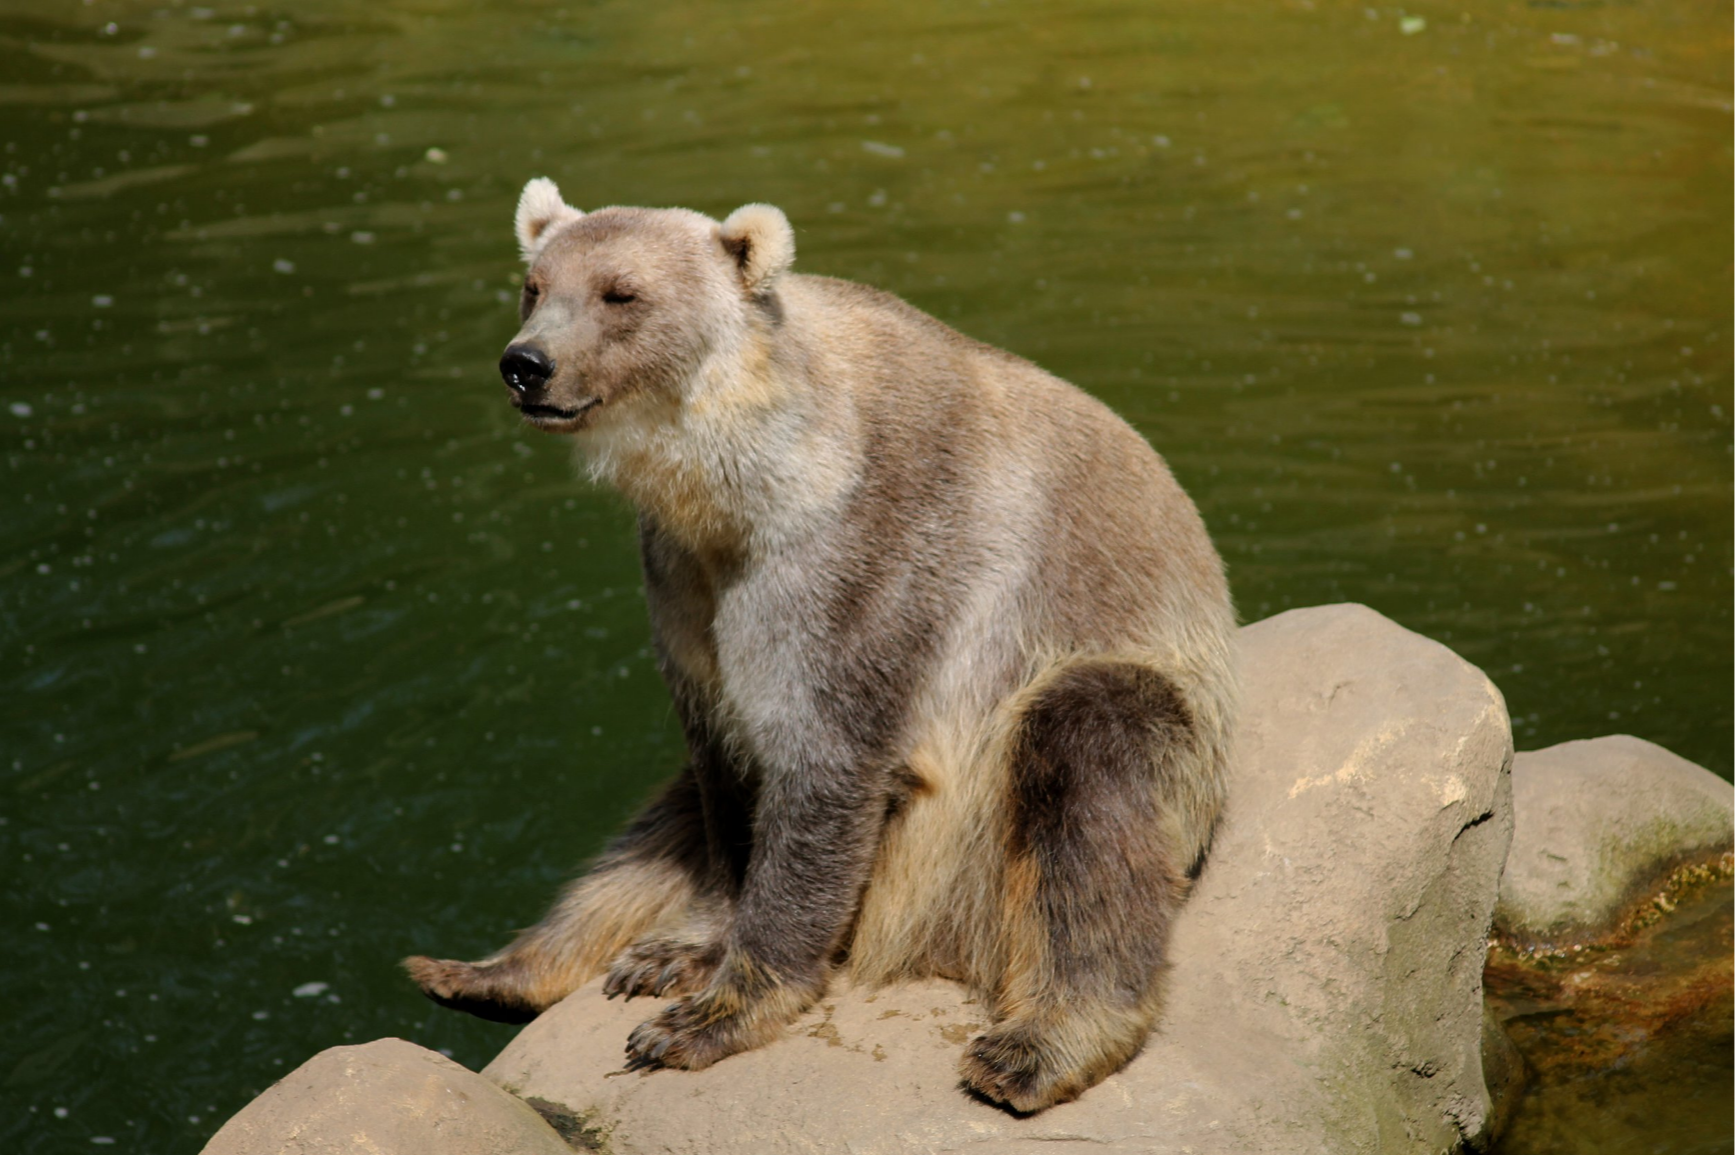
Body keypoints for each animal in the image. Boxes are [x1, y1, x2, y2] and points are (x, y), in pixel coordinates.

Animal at [404, 178, 1238, 1113]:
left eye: (621, 293)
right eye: (535, 285)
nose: (527, 364)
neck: (742, 481)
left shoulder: (869, 556)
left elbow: (824, 765)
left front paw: (704, 1014)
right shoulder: (687, 585)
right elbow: (723, 775)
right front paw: (679, 950)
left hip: (1089, 752)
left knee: (1088, 775)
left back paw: (1036, 1044)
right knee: (655, 821)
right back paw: (484, 970)